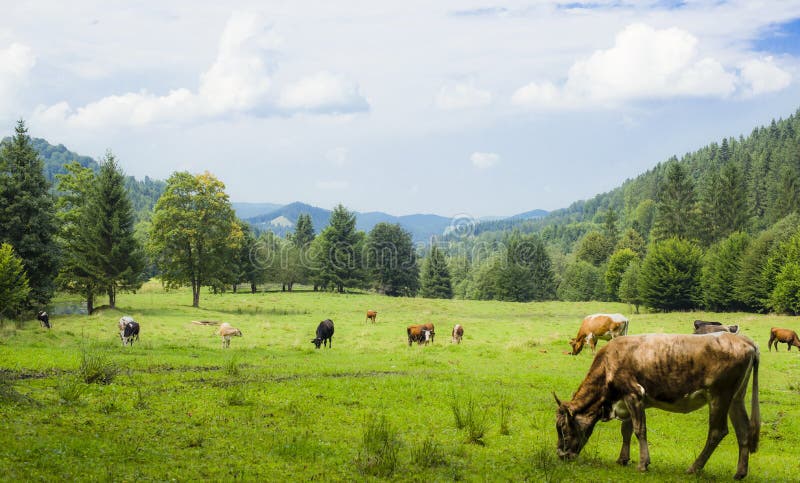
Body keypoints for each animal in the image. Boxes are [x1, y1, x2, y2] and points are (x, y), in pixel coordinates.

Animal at [554, 332, 760, 480]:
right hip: (736, 398)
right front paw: (622, 459)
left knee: (717, 431)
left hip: (719, 395)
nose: (561, 454)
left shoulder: (633, 393)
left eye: (563, 427)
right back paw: (740, 472)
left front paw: (643, 464)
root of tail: (744, 340)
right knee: (743, 430)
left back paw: (694, 467)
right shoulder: (629, 400)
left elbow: (639, 430)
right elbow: (626, 430)